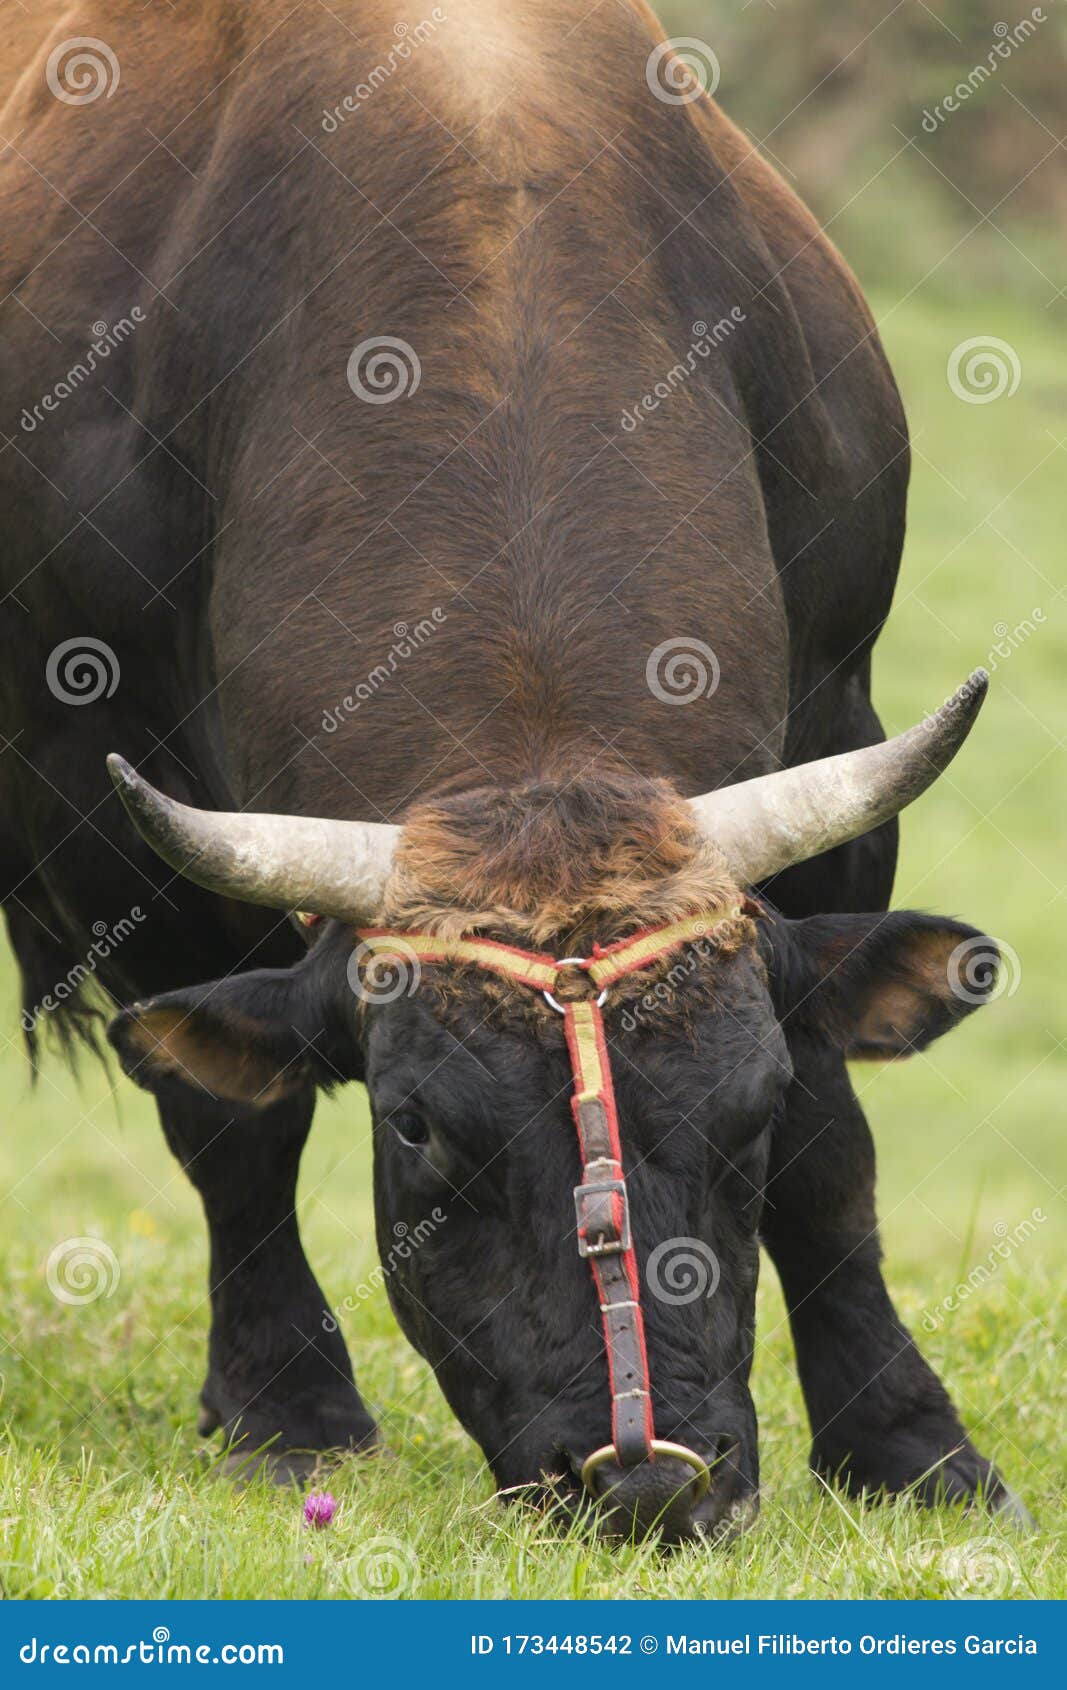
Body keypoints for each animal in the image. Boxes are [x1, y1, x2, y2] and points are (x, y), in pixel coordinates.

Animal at [0, 0, 1030, 1542]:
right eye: (419, 1125)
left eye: (749, 1102)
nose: (645, 1475)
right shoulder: (96, 804)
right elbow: (230, 1125)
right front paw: (288, 1415)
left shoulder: (837, 720)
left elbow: (836, 1147)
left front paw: (910, 1444)